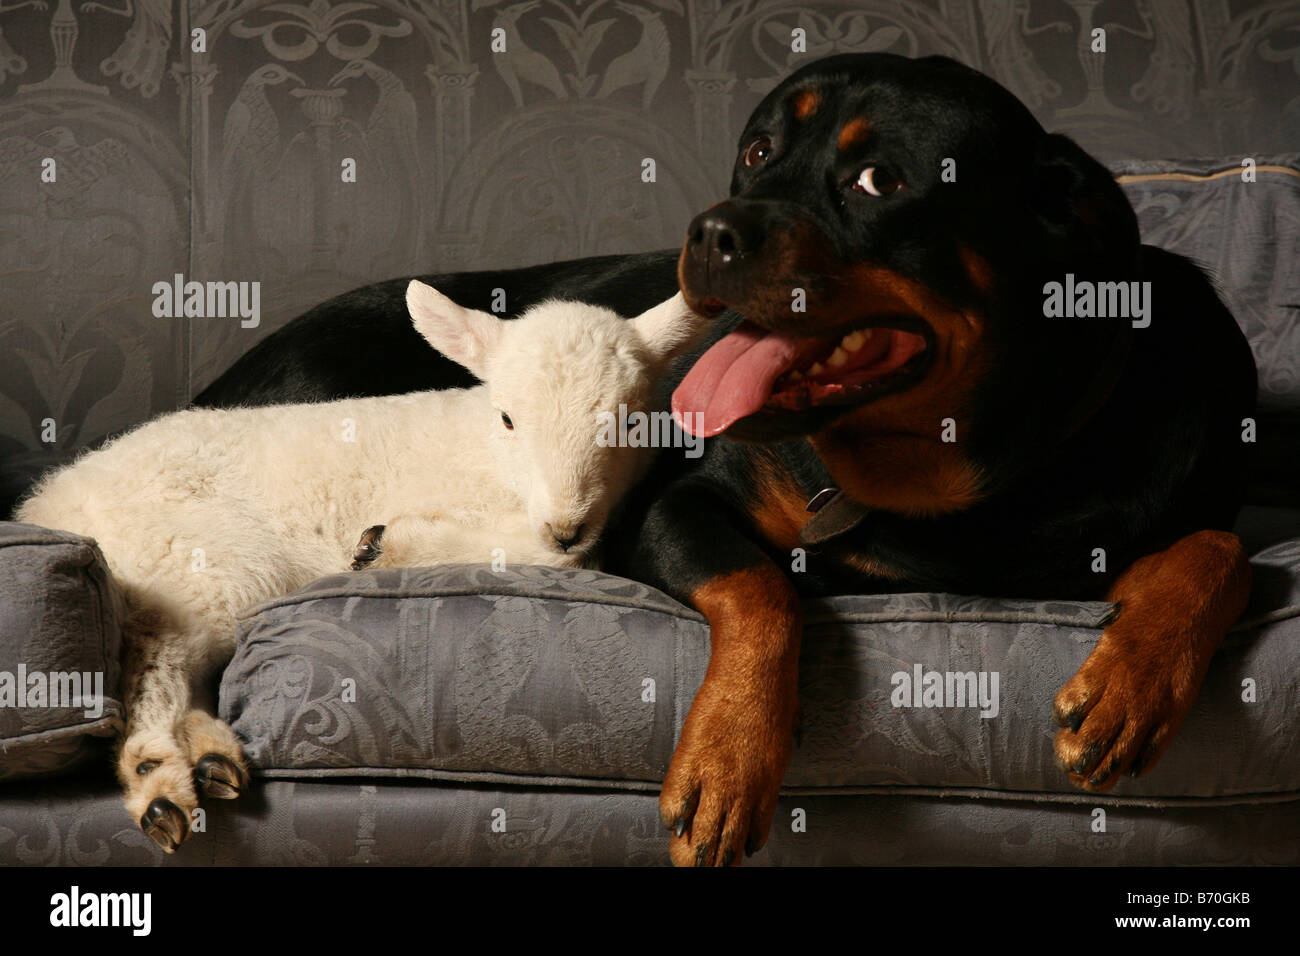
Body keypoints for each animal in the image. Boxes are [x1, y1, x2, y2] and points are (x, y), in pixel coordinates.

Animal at [16, 281, 707, 852]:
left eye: (629, 421)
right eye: (510, 418)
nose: (566, 522)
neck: (485, 458)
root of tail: (50, 503)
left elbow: (578, 549)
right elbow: (553, 551)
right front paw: (383, 546)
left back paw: (209, 758)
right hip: (201, 552)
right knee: (156, 654)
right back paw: (158, 779)